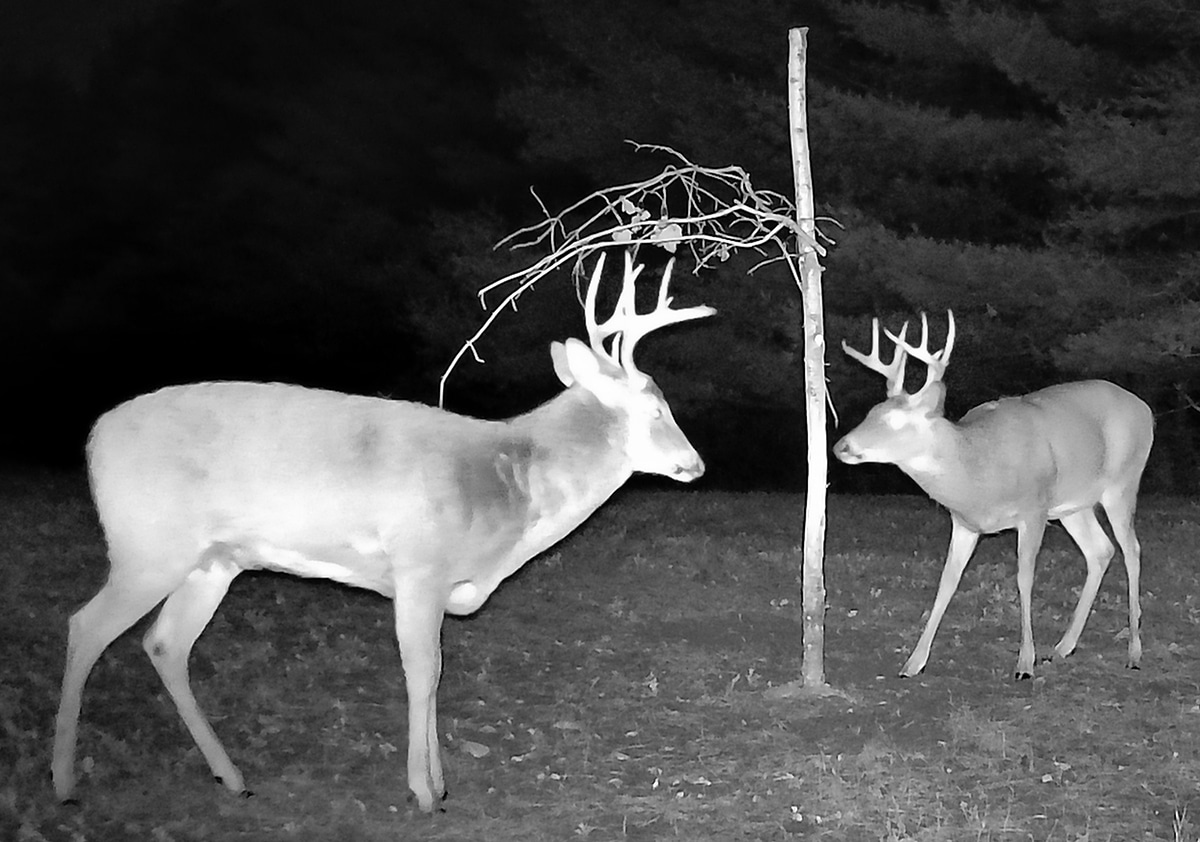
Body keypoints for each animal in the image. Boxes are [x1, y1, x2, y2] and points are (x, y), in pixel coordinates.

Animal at [52, 251, 714, 813]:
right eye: (657, 408)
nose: (695, 464)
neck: (507, 489)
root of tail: (93, 438)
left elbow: (435, 672)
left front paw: (441, 782)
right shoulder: (419, 565)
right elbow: (424, 671)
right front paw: (423, 792)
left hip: (213, 560)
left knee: (165, 643)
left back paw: (233, 778)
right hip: (147, 544)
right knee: (85, 626)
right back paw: (64, 782)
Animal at [833, 311, 1153, 681]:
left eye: (897, 419)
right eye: (870, 412)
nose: (840, 446)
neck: (979, 475)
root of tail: (1145, 409)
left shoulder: (1034, 508)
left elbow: (1024, 578)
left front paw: (1024, 663)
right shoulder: (964, 523)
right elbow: (948, 580)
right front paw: (913, 662)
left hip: (1122, 482)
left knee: (1132, 549)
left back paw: (1133, 651)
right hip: (1072, 505)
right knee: (1100, 551)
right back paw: (1063, 647)